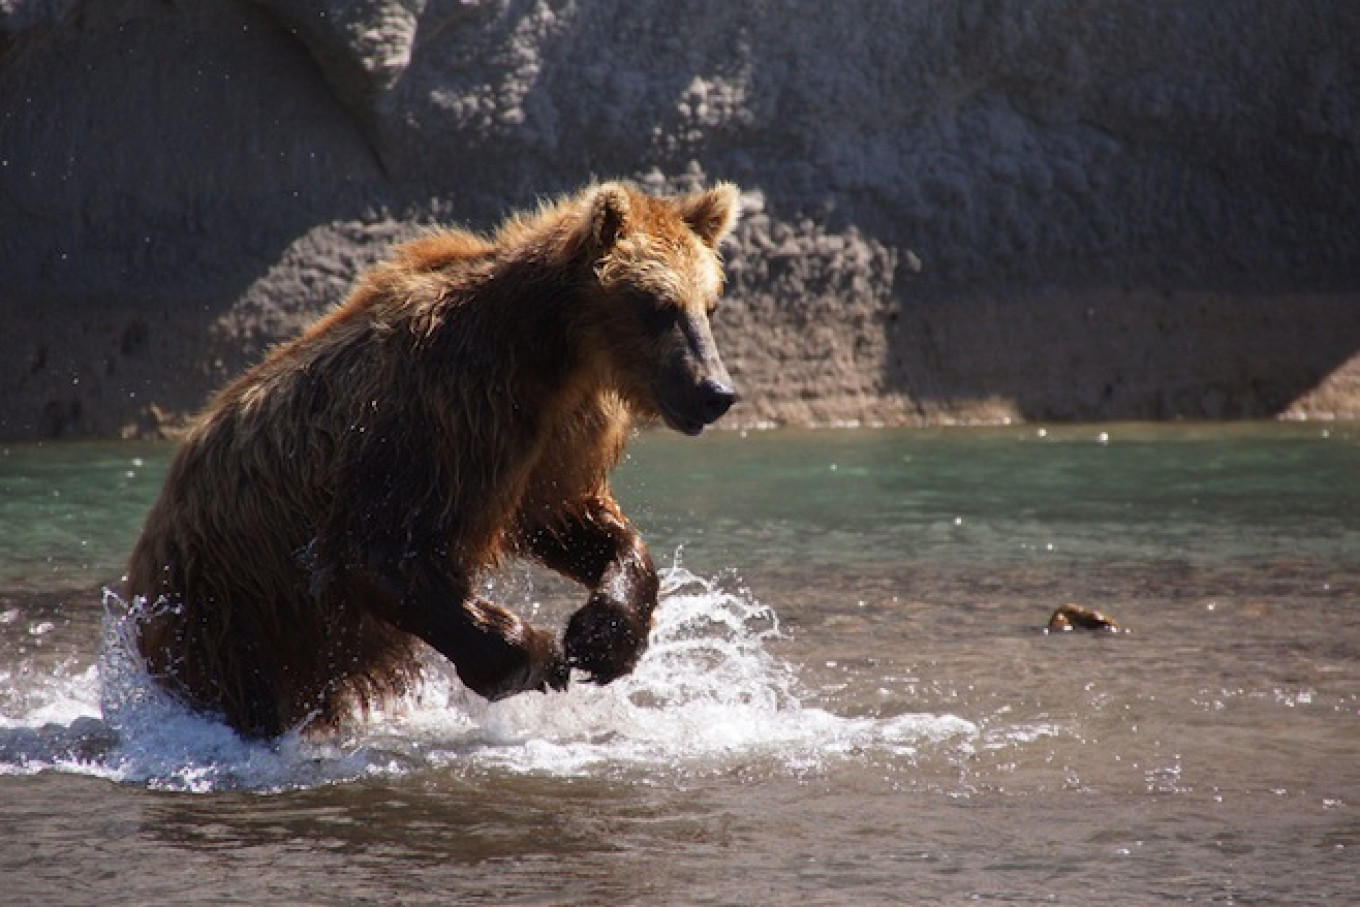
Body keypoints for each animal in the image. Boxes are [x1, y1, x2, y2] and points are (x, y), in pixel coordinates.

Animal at [124, 181, 742, 739]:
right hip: (226, 605)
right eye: (659, 306)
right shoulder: (440, 409)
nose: (715, 391)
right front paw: (538, 655)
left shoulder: (558, 438)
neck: (557, 355)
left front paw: (602, 635)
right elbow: (378, 546)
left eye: (709, 303)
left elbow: (568, 517)